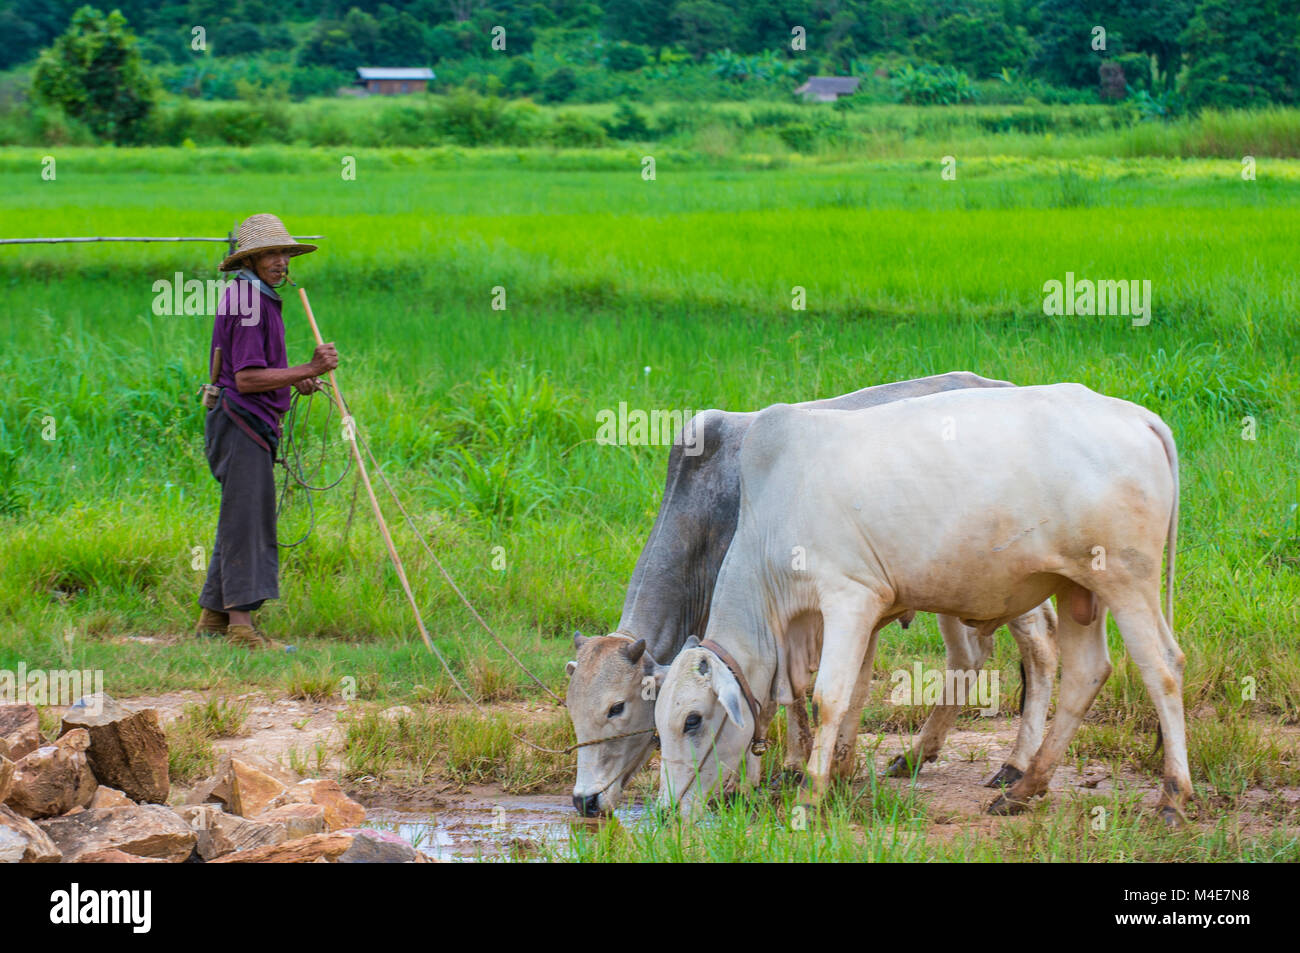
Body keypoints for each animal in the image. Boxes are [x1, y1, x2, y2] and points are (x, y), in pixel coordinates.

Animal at [566, 372, 1059, 817]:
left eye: (617, 707)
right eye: (572, 711)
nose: (584, 801)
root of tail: (1004, 386)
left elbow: (793, 697)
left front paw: (781, 772)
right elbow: (802, 692)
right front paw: (822, 765)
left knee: (1039, 650)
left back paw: (1015, 767)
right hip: (949, 591)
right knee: (967, 658)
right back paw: (918, 755)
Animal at [654, 383, 1186, 825]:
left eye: (692, 720)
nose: (666, 811)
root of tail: (1140, 417)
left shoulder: (848, 598)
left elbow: (830, 697)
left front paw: (810, 795)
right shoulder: (873, 612)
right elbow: (856, 694)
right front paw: (840, 774)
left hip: (1125, 580)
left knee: (1162, 668)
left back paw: (1172, 798)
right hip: (1077, 587)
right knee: (1085, 674)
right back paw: (1024, 788)